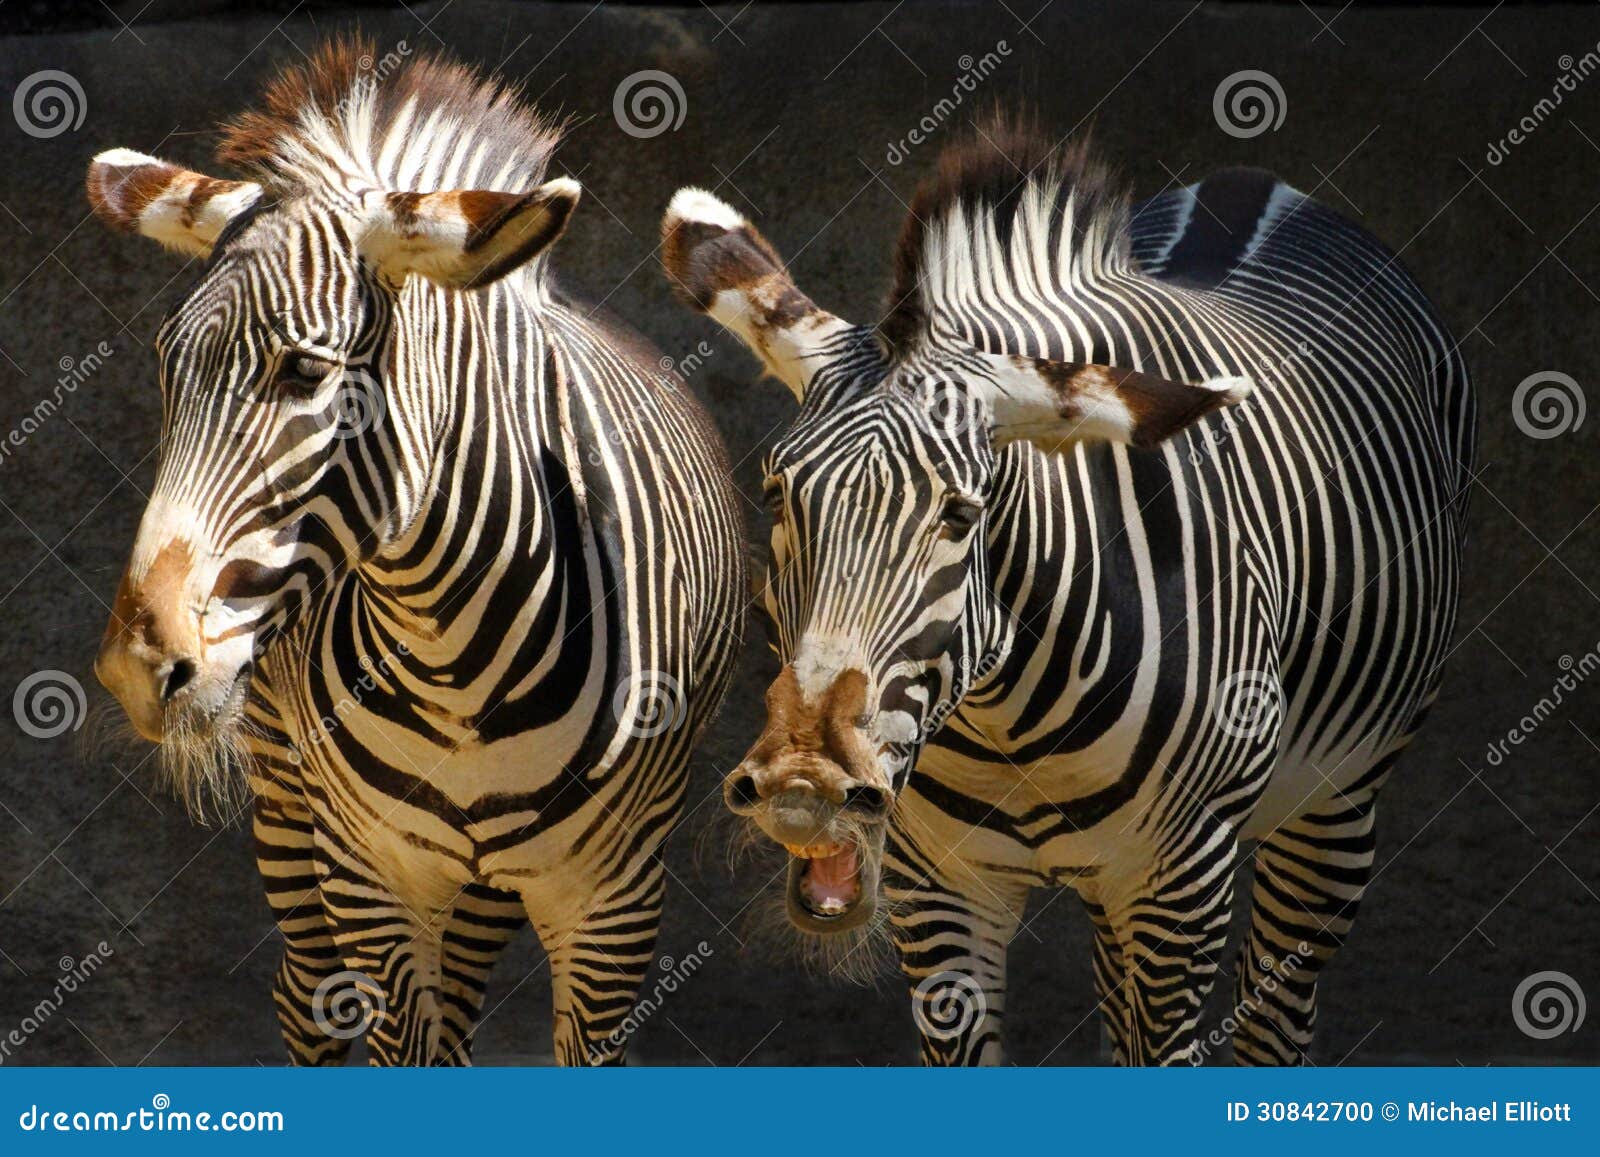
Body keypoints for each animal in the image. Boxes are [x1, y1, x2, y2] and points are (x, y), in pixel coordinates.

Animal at [89, 40, 744, 1065]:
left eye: (304, 371)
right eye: (167, 367)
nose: (136, 668)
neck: (456, 665)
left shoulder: (615, 902)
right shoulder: (373, 877)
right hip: (288, 797)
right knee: (307, 998)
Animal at [662, 121, 1475, 1065]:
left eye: (962, 514)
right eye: (776, 494)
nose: (804, 781)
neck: (1007, 721)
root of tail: (1255, 182)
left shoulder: (1180, 881)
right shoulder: (938, 880)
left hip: (1335, 804)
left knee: (1276, 1014)